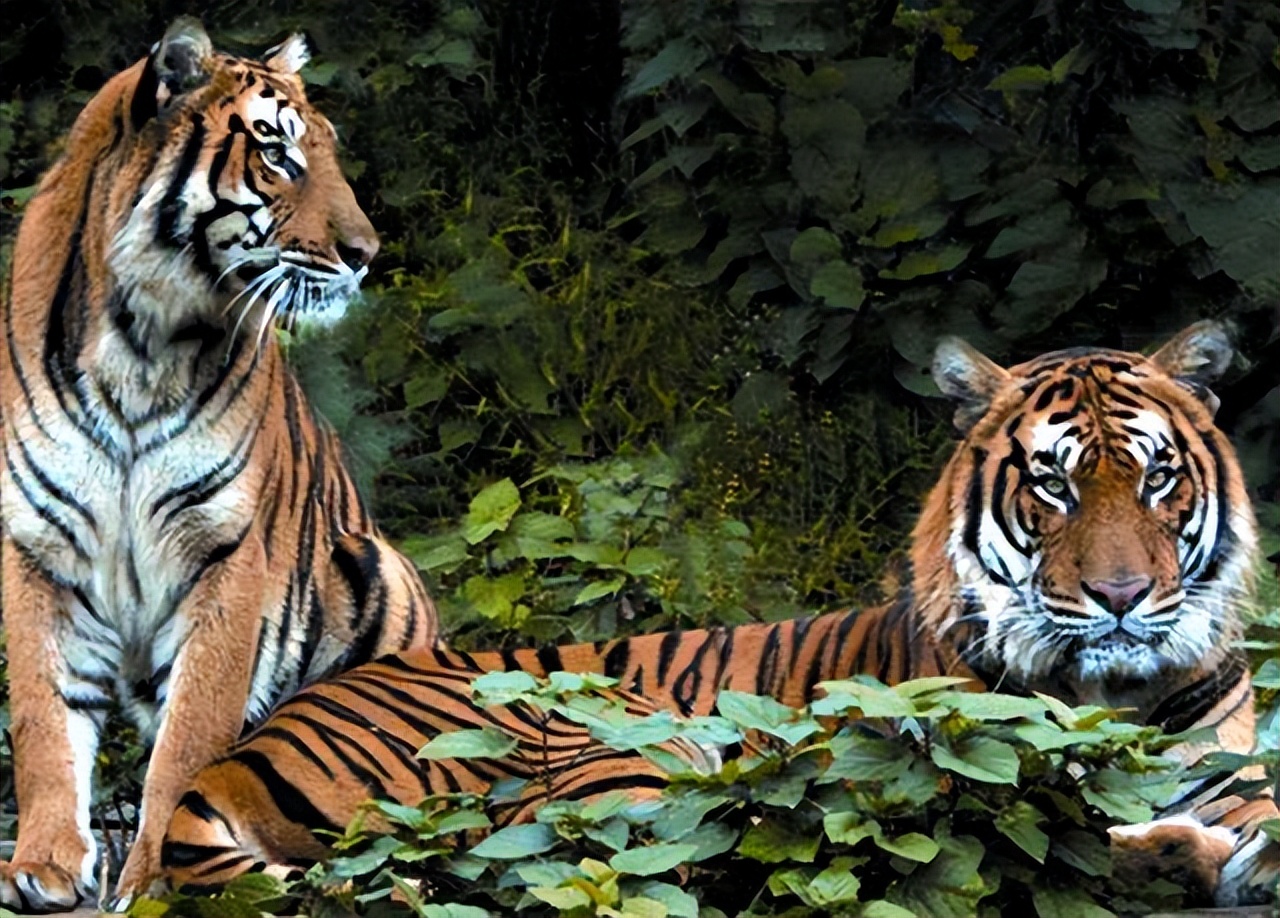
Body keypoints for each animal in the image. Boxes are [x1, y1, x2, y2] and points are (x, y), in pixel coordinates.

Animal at [0, 19, 439, 911]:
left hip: (379, 569)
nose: (366, 254)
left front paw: (154, 879)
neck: (138, 342)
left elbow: (192, 738)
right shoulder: (38, 547)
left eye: (326, 151)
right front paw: (46, 865)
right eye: (277, 154)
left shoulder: (225, 554)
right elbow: (42, 716)